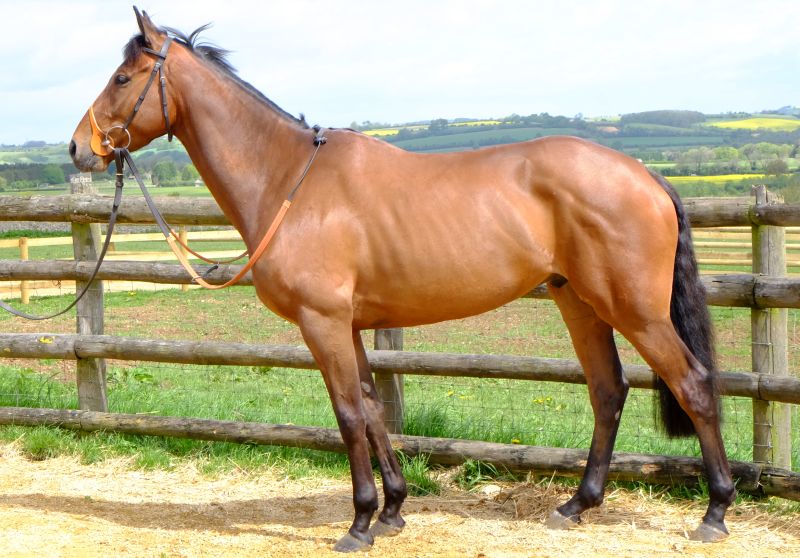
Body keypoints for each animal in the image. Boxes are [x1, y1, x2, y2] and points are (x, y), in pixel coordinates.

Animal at [69, 8, 735, 552]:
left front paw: (359, 522)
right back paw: (576, 505)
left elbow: (346, 414)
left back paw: (715, 512)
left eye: (123, 78)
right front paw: (392, 510)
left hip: (634, 309)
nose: (78, 147)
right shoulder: (349, 326)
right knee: (607, 390)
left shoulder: (323, 323)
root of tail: (646, 175)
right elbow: (371, 407)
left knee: (694, 385)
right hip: (581, 303)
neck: (289, 179)